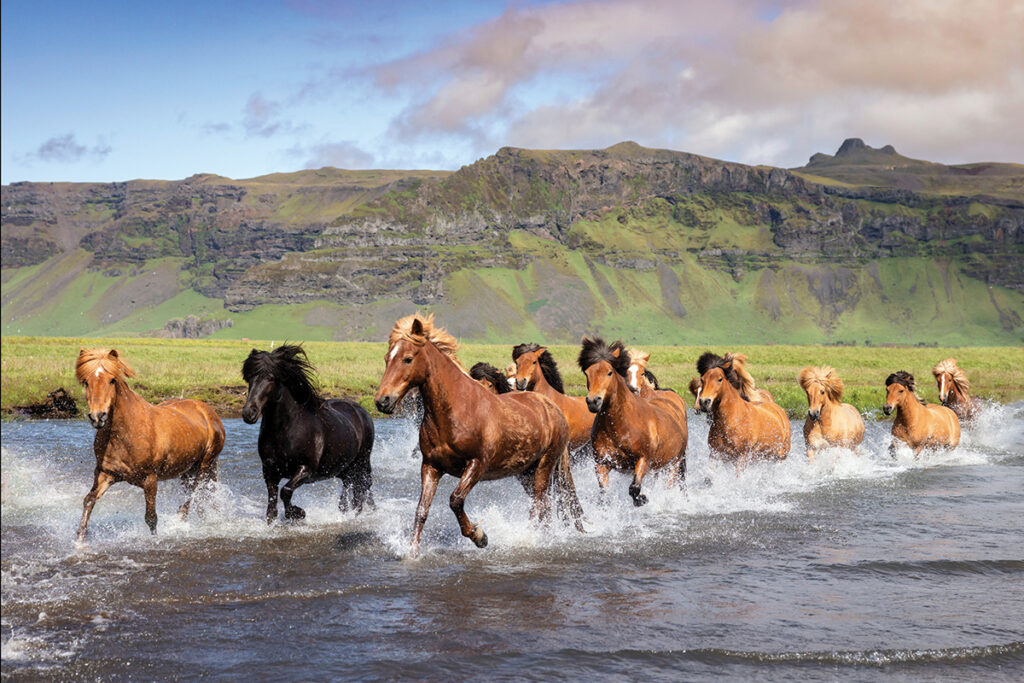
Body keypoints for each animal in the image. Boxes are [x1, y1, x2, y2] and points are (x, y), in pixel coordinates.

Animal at [75, 349, 225, 541]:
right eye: (86, 381)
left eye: (112, 380)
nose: (97, 417)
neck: (125, 434)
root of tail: (209, 411)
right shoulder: (105, 474)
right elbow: (89, 501)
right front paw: (80, 540)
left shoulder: (150, 479)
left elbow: (151, 518)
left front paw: (155, 540)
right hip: (187, 471)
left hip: (204, 465)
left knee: (193, 497)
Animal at [242, 345, 374, 522]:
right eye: (249, 378)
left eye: (270, 378)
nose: (249, 413)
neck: (286, 431)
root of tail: (362, 412)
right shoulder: (269, 471)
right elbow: (271, 506)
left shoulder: (305, 469)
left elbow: (286, 491)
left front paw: (298, 513)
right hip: (345, 468)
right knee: (349, 490)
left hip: (362, 463)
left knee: (362, 491)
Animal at [374, 314, 583, 555]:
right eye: (386, 358)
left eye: (408, 359)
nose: (383, 401)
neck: (456, 409)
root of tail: (553, 407)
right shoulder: (431, 466)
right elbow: (421, 510)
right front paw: (412, 553)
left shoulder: (476, 464)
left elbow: (455, 500)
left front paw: (479, 536)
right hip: (525, 472)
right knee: (544, 506)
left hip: (544, 466)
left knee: (539, 505)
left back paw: (530, 539)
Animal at [579, 337, 687, 506]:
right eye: (587, 373)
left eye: (609, 372)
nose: (593, 401)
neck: (620, 425)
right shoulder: (601, 463)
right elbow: (604, 494)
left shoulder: (643, 459)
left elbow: (634, 488)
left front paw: (643, 499)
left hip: (675, 463)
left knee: (670, 484)